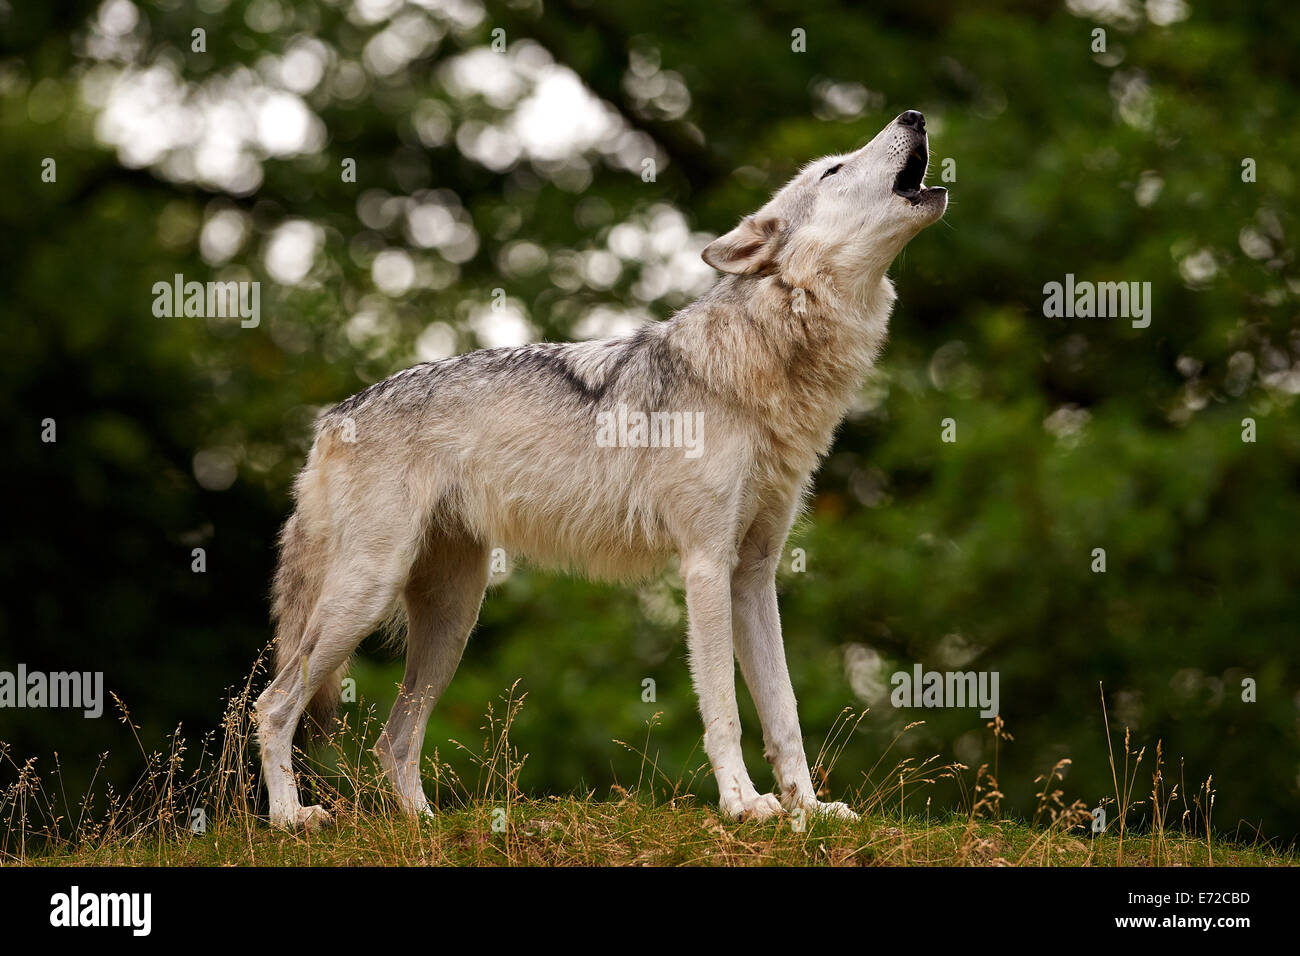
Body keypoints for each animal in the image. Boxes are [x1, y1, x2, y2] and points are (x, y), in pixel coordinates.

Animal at [254, 110, 947, 829]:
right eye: (833, 170)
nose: (914, 115)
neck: (763, 364)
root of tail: (333, 417)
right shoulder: (705, 564)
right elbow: (724, 709)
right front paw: (743, 803)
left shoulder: (754, 575)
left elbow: (783, 713)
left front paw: (808, 810)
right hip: (368, 593)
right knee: (272, 705)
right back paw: (291, 819)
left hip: (453, 615)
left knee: (393, 738)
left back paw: (425, 824)